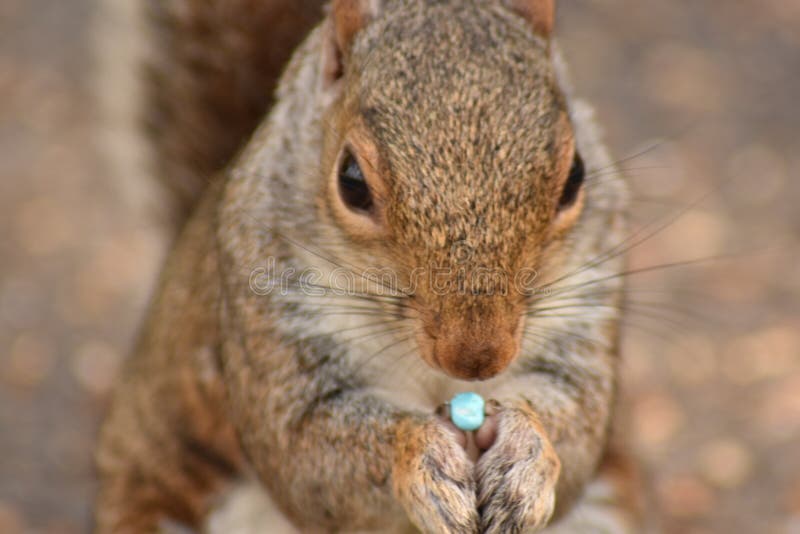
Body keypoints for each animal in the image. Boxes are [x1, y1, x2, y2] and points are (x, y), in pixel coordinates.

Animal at [95, 0, 643, 532]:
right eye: (351, 181)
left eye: (576, 177)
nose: (478, 359)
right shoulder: (264, 318)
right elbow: (304, 455)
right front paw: (420, 452)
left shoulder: (587, 309)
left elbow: (581, 425)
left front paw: (525, 451)